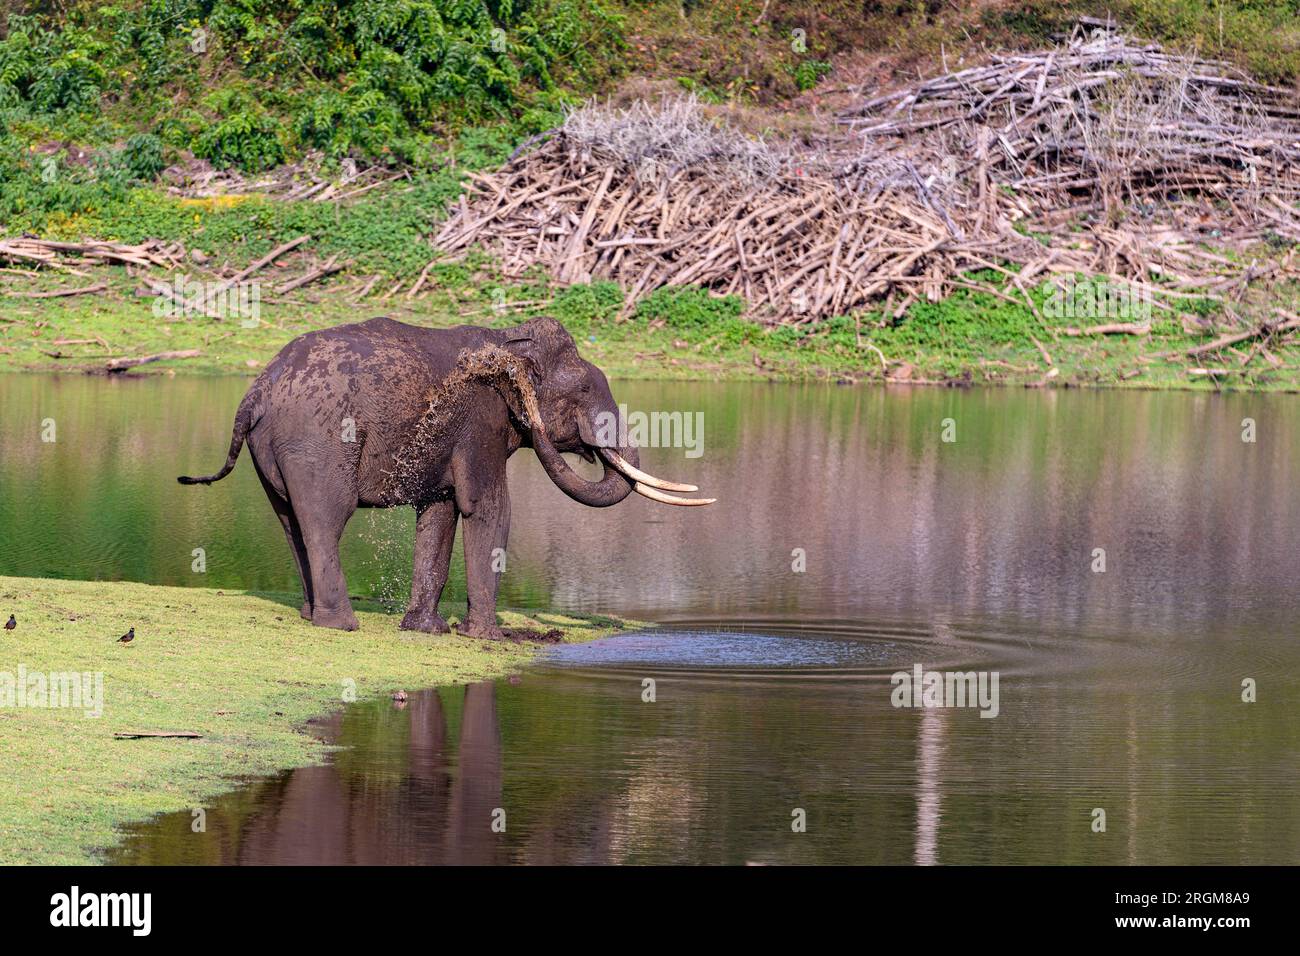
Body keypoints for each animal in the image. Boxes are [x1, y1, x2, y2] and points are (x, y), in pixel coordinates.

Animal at [178, 315, 712, 637]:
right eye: (583, 390)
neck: (506, 339)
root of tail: (256, 391)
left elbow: (440, 510)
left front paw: (426, 630)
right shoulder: (481, 421)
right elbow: (489, 509)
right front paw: (488, 637)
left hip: (273, 451)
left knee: (291, 521)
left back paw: (313, 617)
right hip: (317, 441)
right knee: (325, 518)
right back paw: (342, 625)